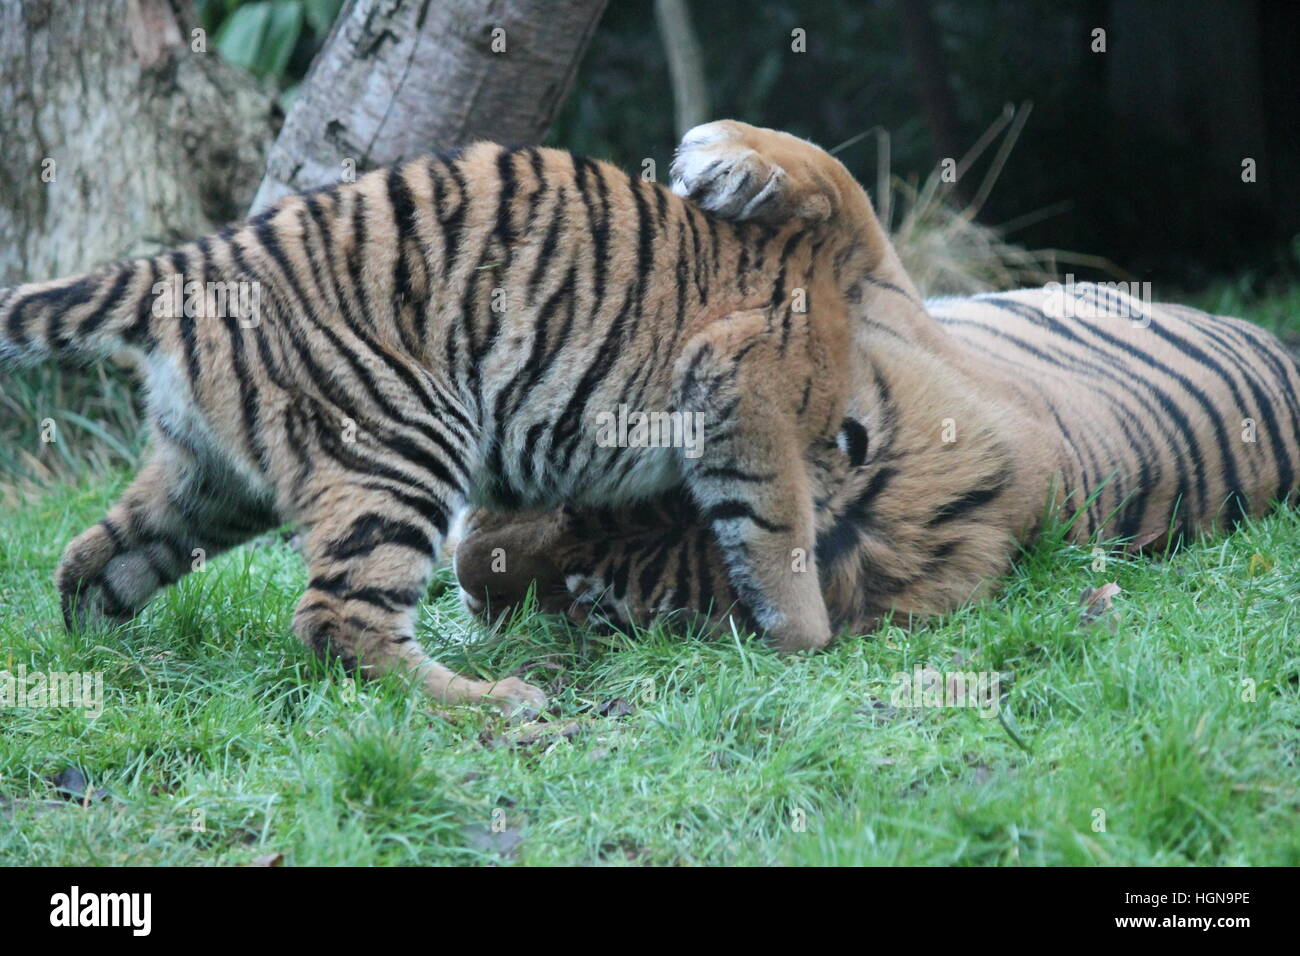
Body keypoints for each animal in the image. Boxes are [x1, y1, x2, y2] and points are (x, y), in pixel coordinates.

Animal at [0, 120, 901, 714]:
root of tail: (194, 260)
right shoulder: (746, 398)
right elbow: (777, 527)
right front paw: (809, 639)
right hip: (401, 442)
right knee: (339, 617)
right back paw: (498, 703)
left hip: (211, 478)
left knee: (93, 560)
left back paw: (113, 667)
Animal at [454, 121, 1300, 637]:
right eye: (578, 504)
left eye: (587, 595)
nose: (464, 579)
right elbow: (837, 180)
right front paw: (730, 163)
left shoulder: (897, 302)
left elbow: (844, 187)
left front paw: (717, 151)